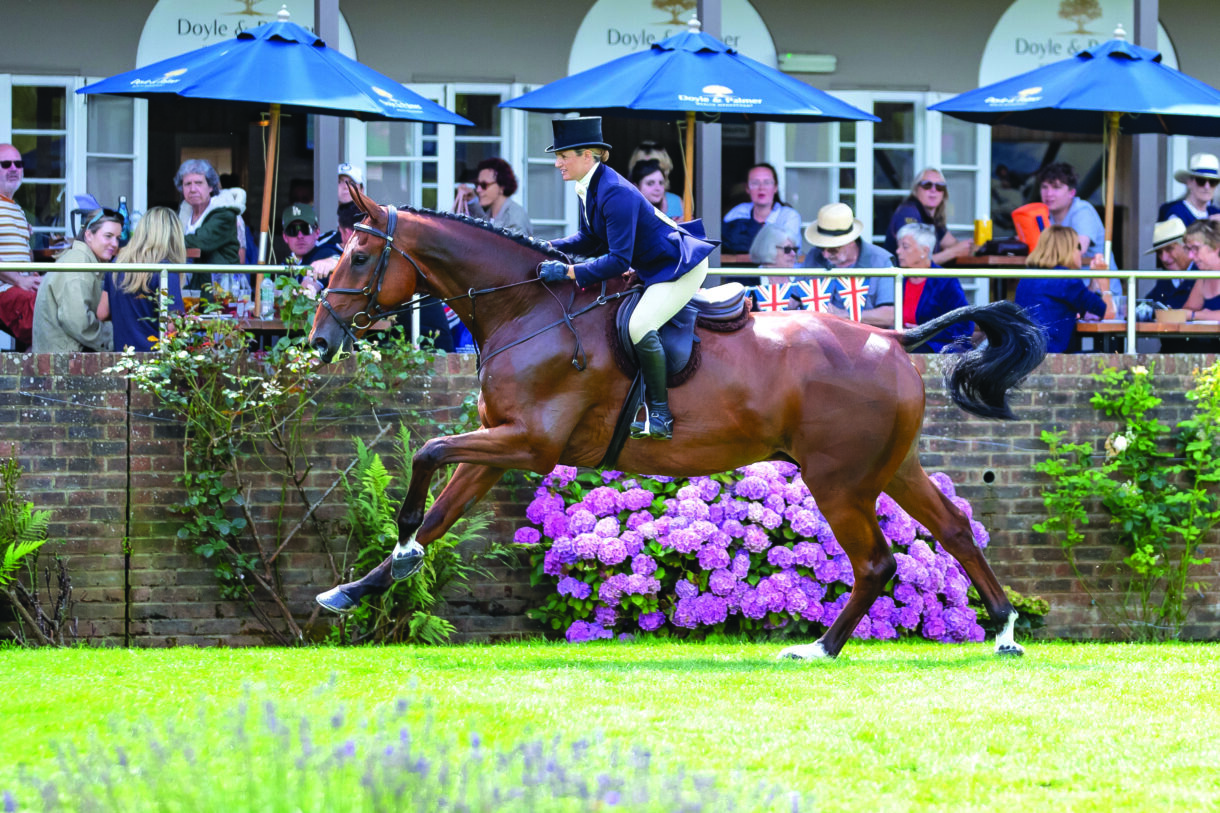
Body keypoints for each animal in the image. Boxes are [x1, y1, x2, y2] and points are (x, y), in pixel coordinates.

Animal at [309, 186, 1047, 660]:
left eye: (359, 257)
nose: (319, 340)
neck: (527, 307)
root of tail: (891, 338)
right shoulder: (501, 447)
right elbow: (441, 511)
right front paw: (357, 587)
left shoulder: (530, 444)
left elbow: (428, 454)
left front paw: (400, 542)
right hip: (889, 467)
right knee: (952, 529)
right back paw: (1006, 630)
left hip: (840, 481)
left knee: (876, 562)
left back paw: (820, 648)